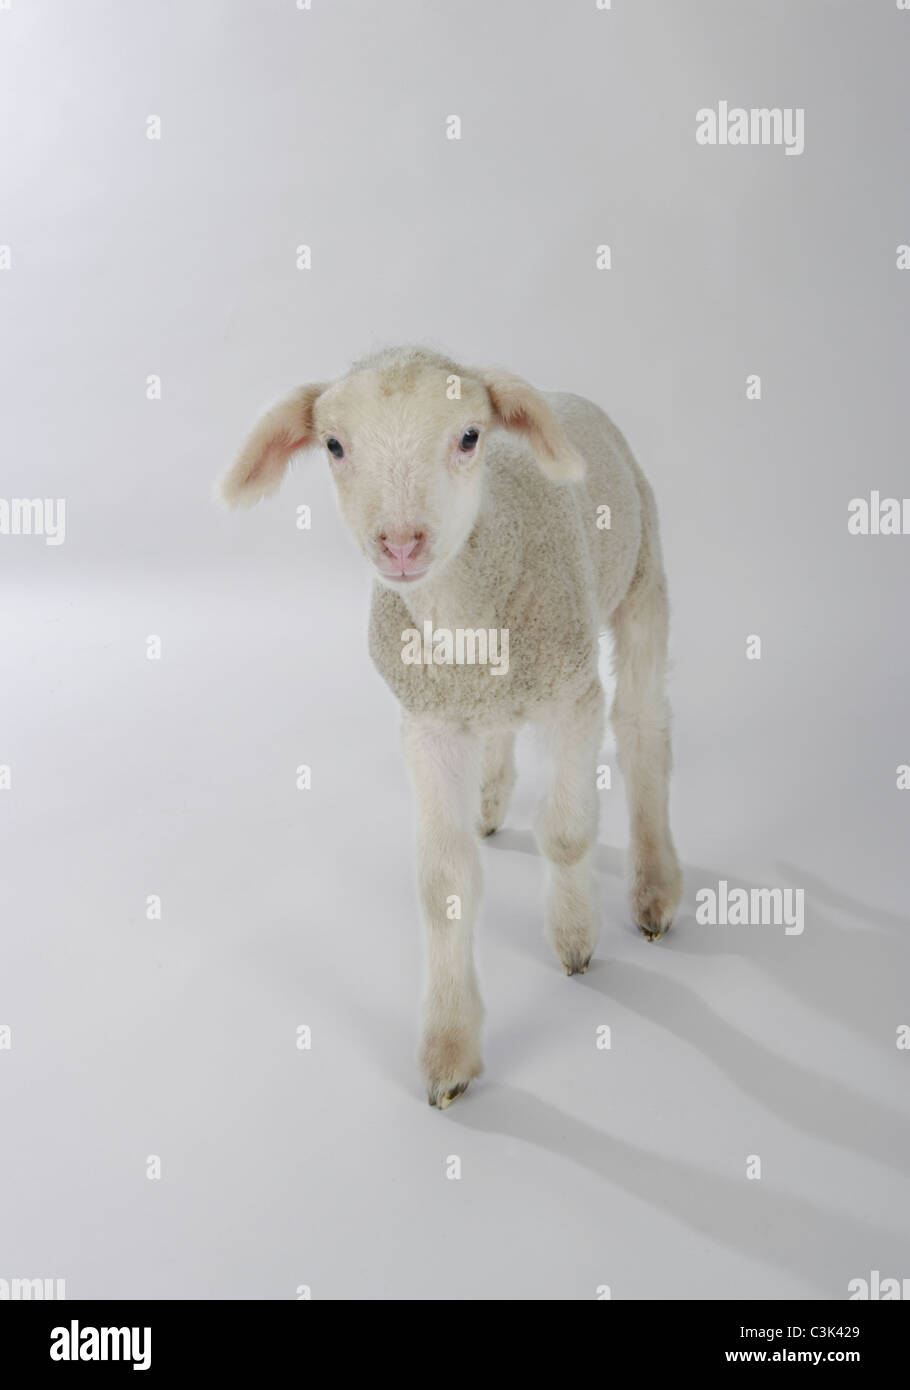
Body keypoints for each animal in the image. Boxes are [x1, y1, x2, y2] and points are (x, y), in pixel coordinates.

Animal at [220, 345, 682, 1108]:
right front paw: (449, 1050)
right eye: (334, 445)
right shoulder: (428, 721)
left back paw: (654, 891)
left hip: (644, 575)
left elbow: (567, 833)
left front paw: (575, 939)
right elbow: (443, 886)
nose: (401, 544)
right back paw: (491, 803)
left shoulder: (572, 696)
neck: (465, 621)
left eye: (469, 436)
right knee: (500, 729)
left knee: (644, 730)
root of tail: (569, 395)